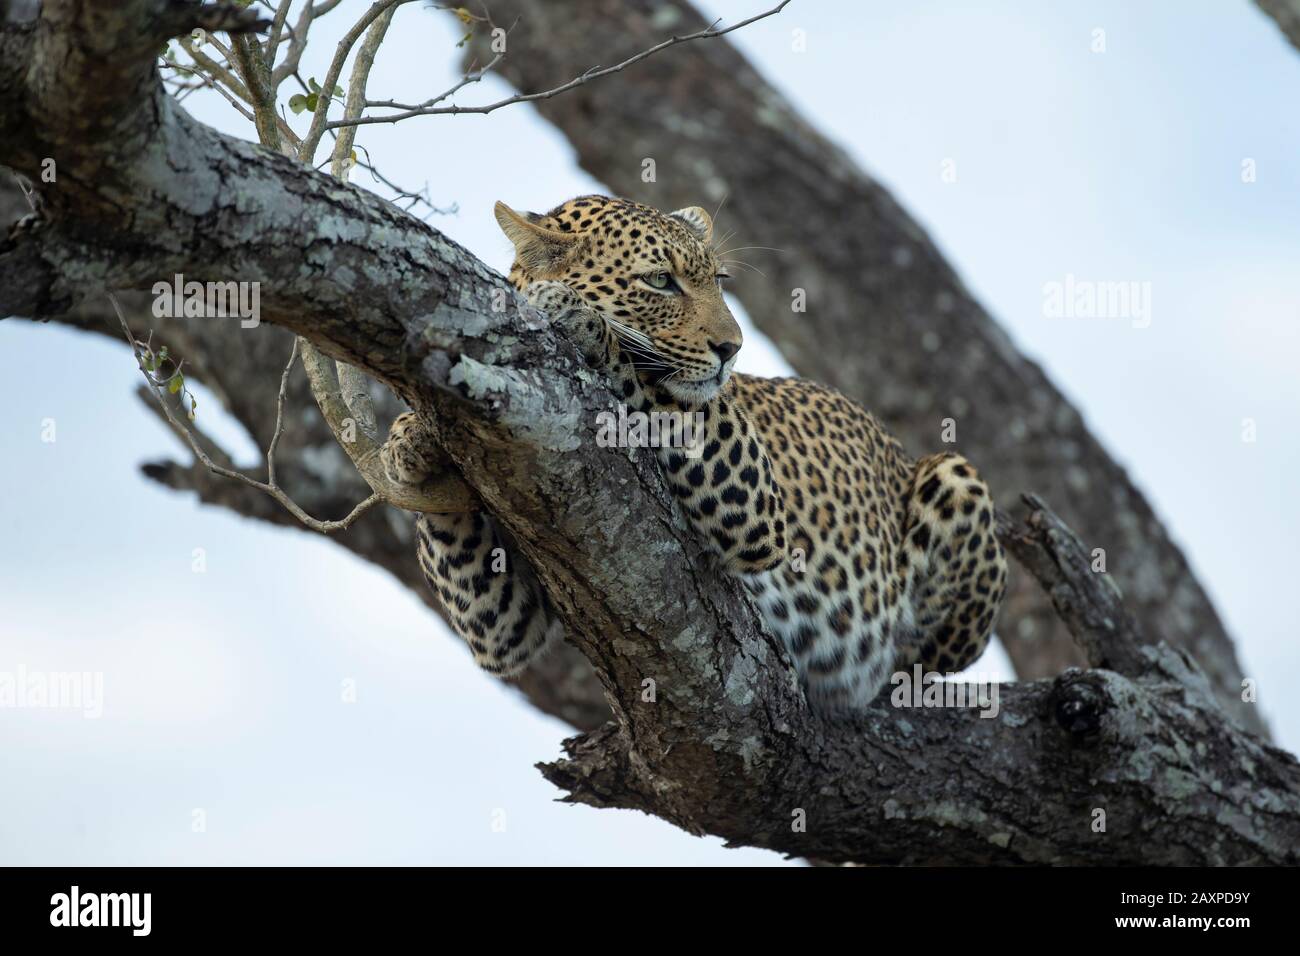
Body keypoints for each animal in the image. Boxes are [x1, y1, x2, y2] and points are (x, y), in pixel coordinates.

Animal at [381, 194, 1008, 711]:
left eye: (719, 280)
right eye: (660, 281)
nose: (733, 349)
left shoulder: (755, 503)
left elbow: (647, 376)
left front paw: (575, 315)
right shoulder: (506, 622)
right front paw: (409, 440)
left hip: (953, 477)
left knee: (919, 660)